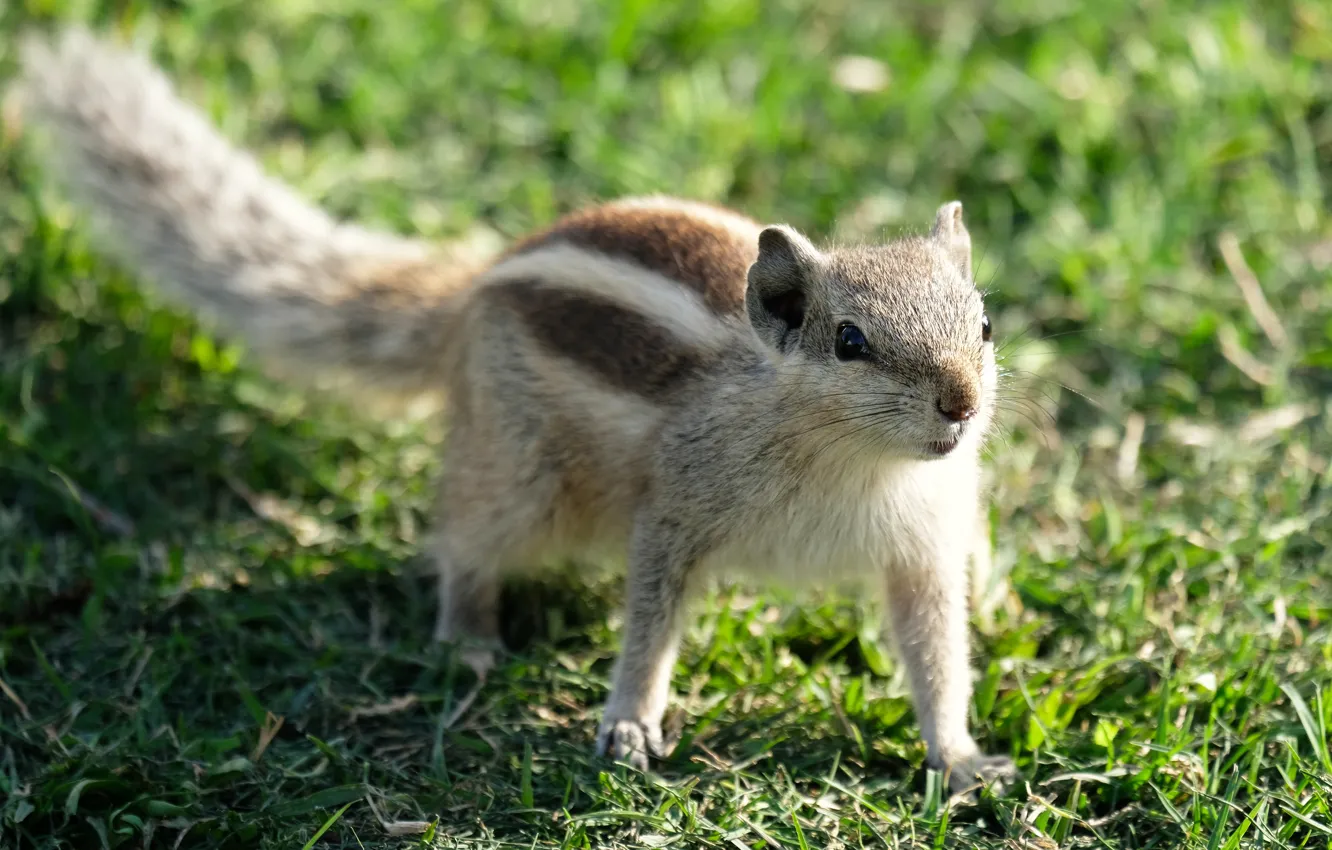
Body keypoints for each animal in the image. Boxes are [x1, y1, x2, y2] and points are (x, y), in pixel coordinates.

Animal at [13, 28, 1015, 792]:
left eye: (984, 323)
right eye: (849, 341)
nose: (960, 404)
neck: (857, 461)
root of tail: (473, 287)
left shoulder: (925, 546)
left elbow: (936, 650)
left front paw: (961, 758)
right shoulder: (678, 505)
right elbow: (650, 620)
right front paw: (628, 723)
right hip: (521, 476)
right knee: (465, 538)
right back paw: (469, 641)